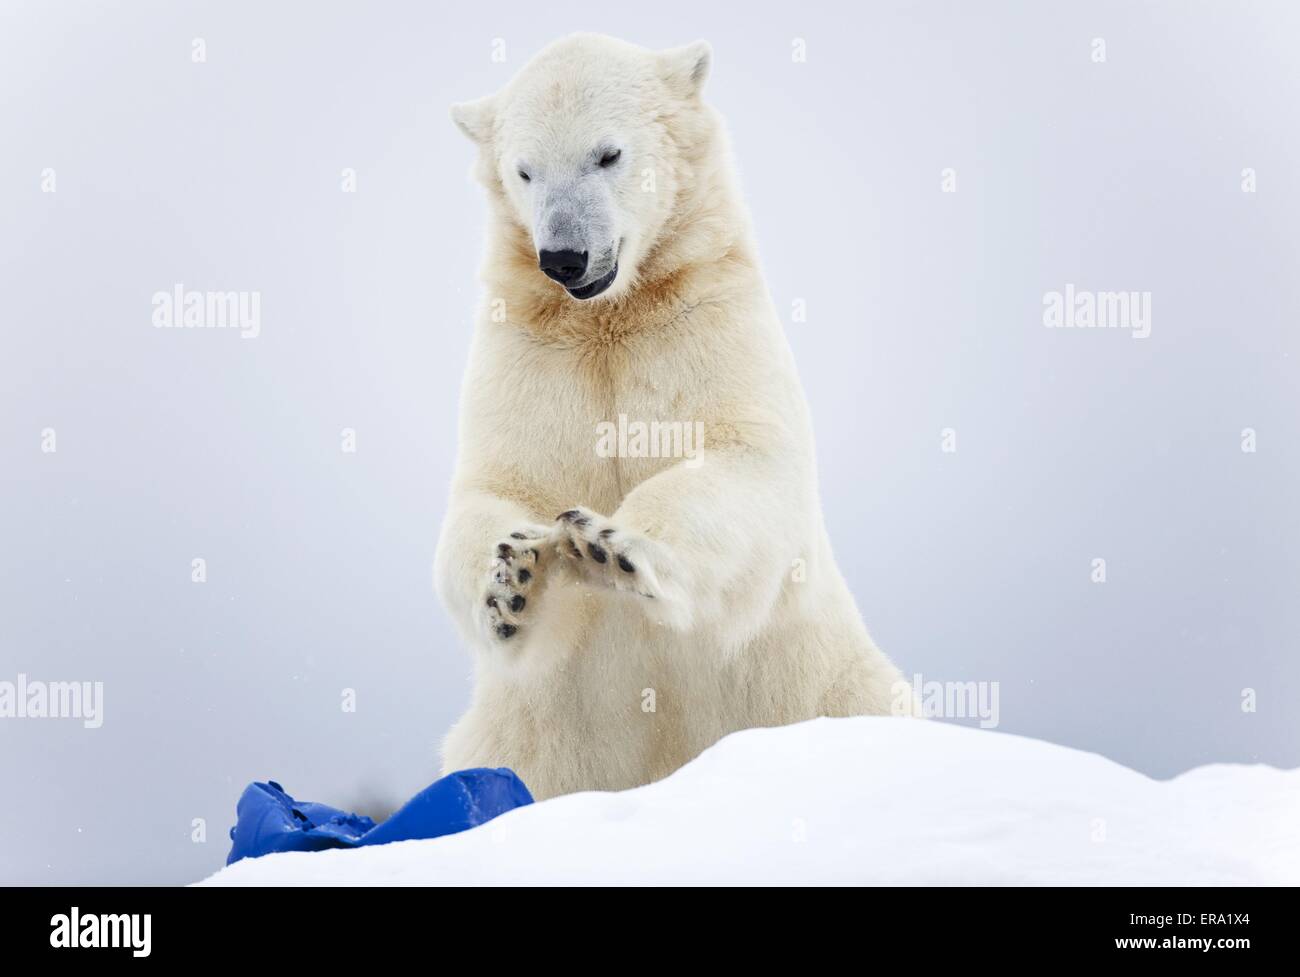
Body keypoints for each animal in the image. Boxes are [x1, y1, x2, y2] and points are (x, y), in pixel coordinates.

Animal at [436, 33, 912, 800]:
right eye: (524, 170)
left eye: (607, 154)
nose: (563, 257)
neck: (610, 316)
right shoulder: (532, 353)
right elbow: (499, 486)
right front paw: (513, 580)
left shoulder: (701, 319)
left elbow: (741, 455)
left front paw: (610, 545)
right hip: (528, 738)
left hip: (825, 684)